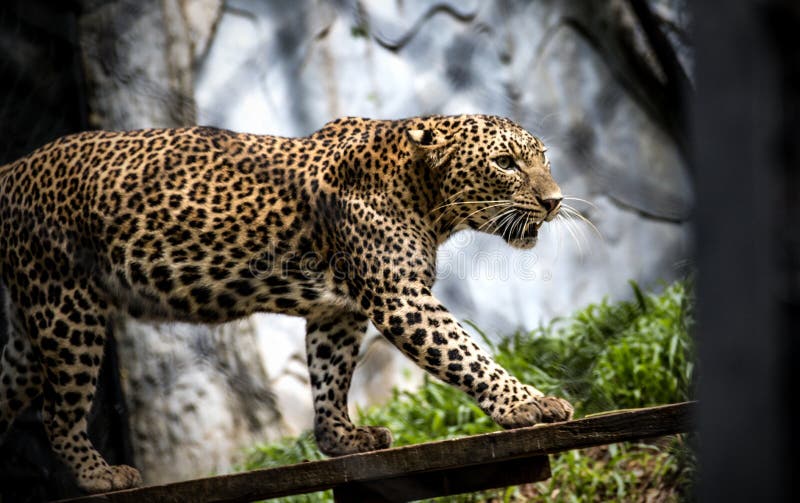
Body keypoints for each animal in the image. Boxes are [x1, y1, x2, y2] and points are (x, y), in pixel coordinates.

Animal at [0, 114, 574, 493]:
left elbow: (329, 376)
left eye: (543, 158)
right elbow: (465, 353)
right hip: (65, 307)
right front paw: (529, 404)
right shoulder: (400, 296)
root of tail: (12, 171)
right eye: (505, 163)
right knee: (57, 411)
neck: (426, 194)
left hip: (32, 324)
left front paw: (341, 439)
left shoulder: (337, 312)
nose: (554, 202)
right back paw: (100, 475)